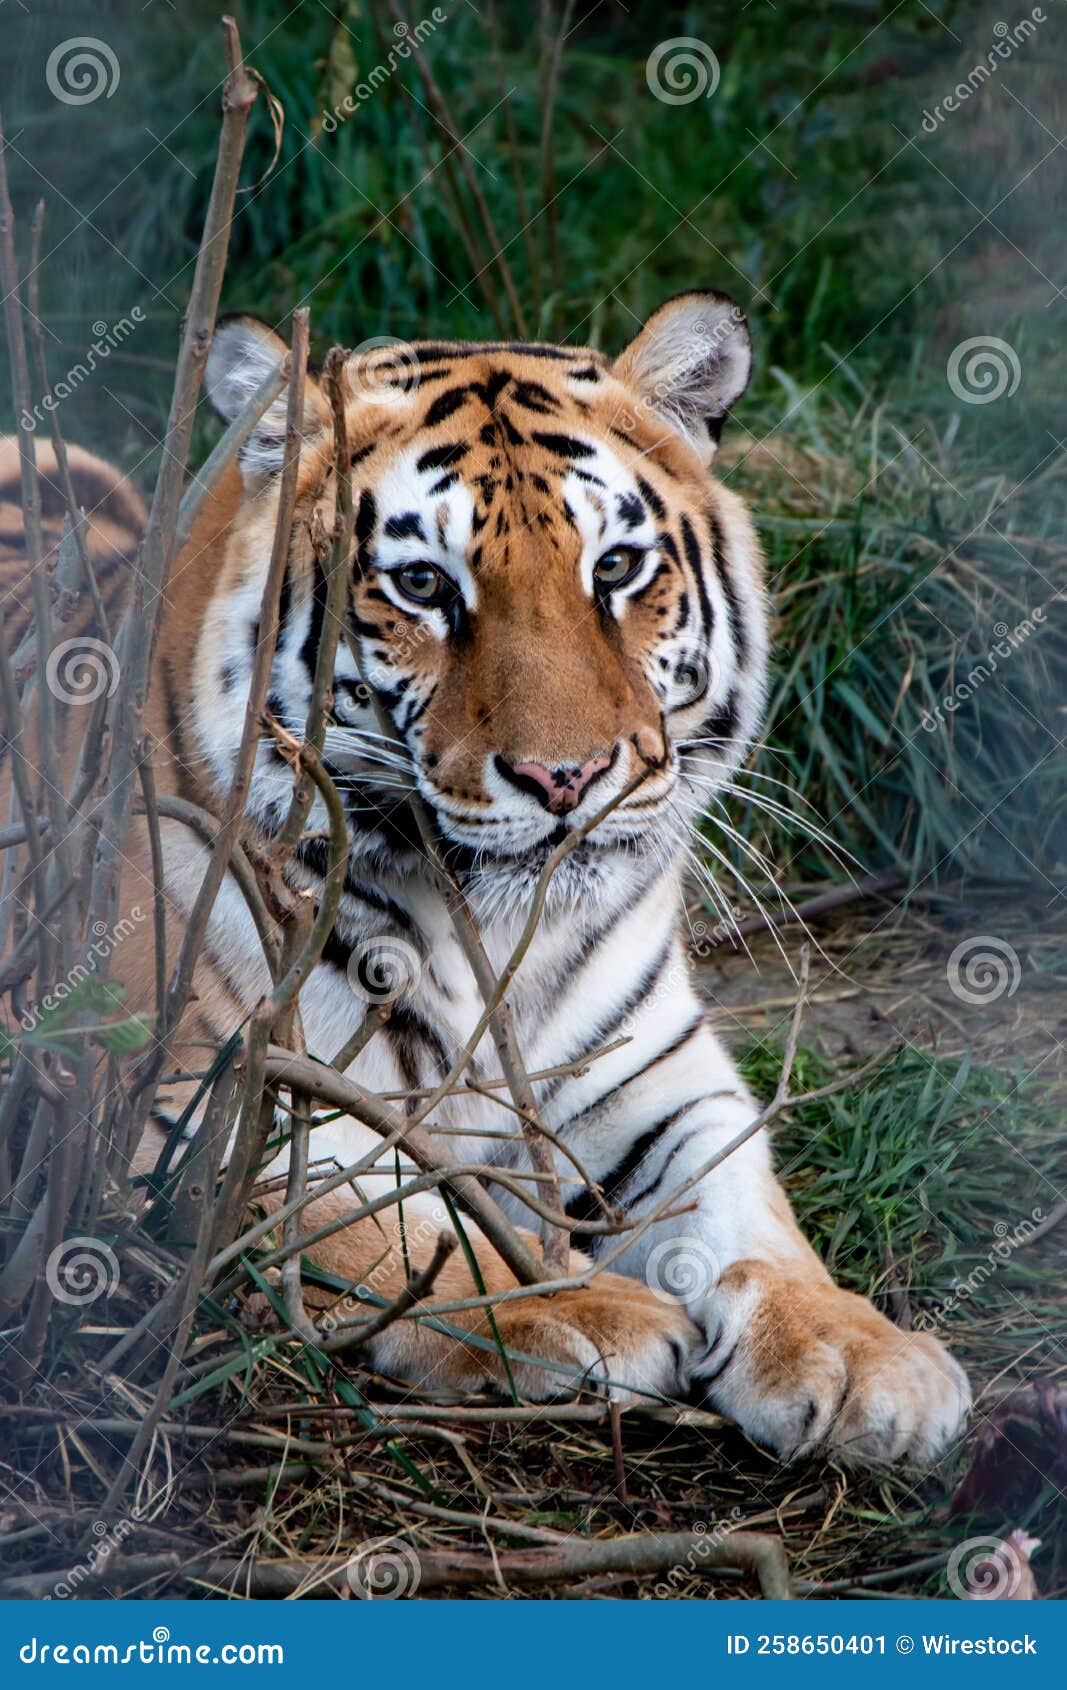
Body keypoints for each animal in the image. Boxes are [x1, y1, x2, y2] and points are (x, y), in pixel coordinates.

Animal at [1, 291, 970, 1464]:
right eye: (422, 584)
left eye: (615, 570)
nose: (567, 776)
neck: (497, 939)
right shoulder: (188, 1110)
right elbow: (386, 1222)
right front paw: (579, 1310)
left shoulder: (662, 1083)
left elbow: (751, 1215)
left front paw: (857, 1351)